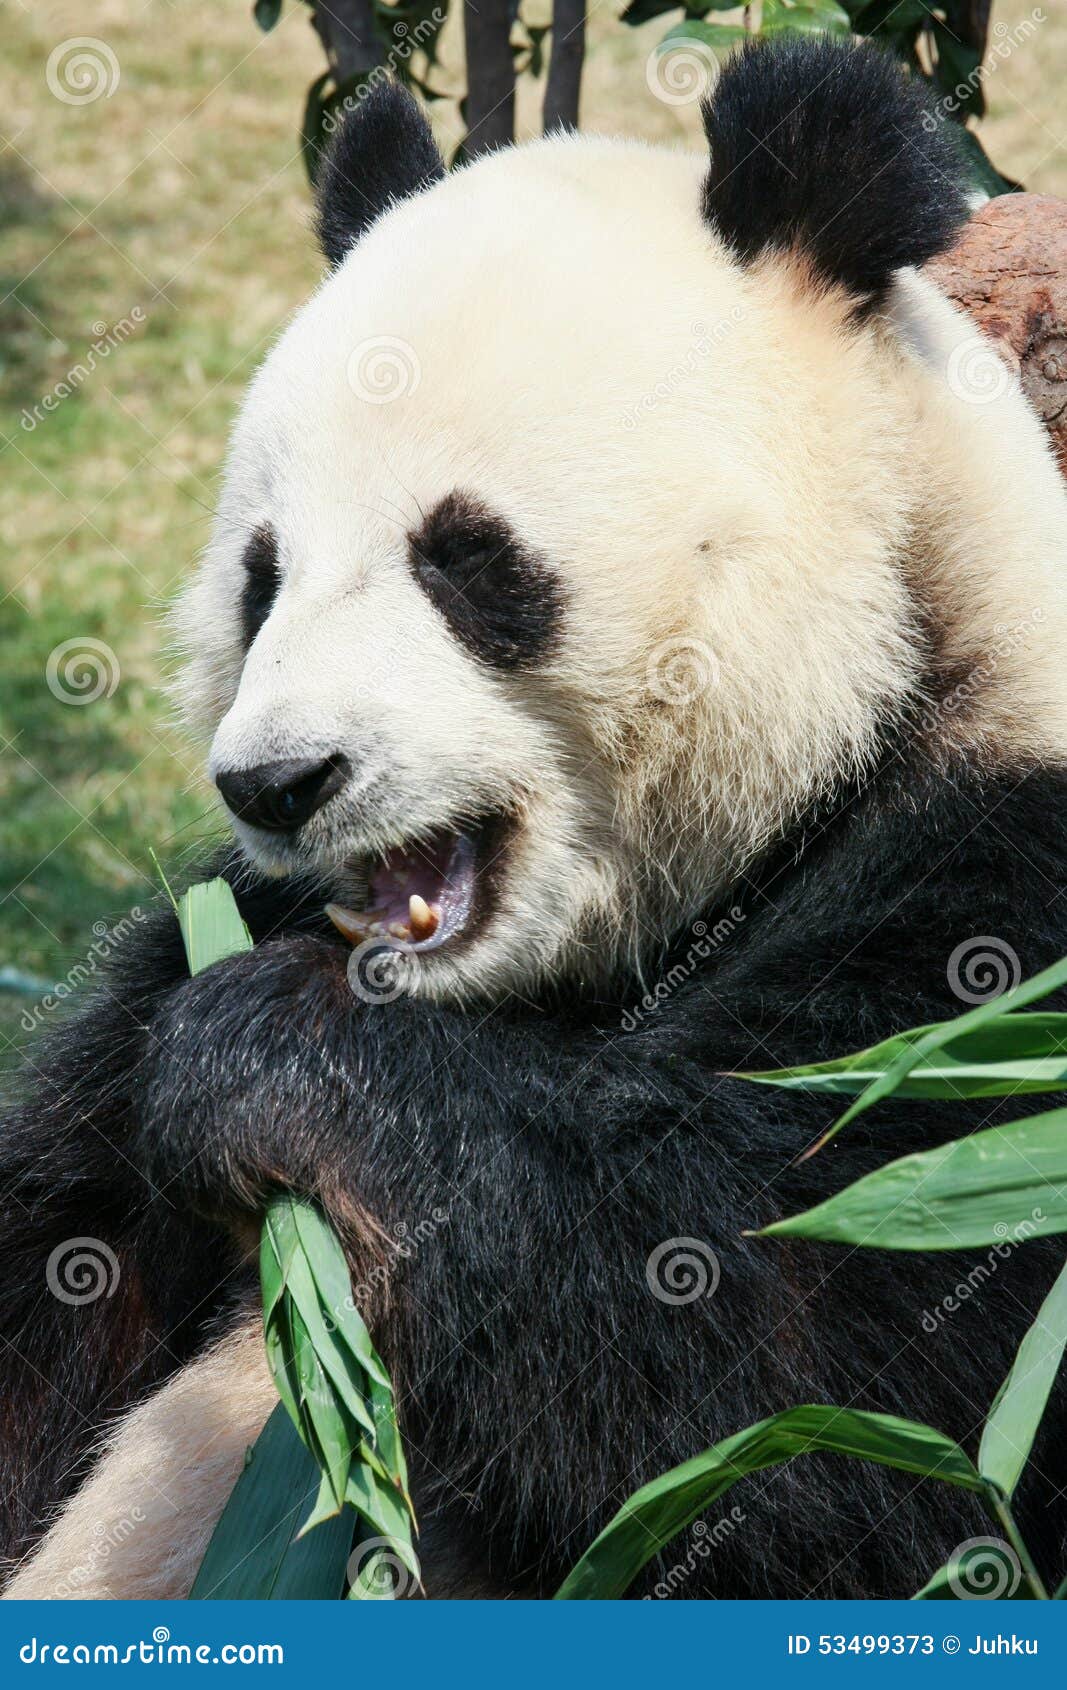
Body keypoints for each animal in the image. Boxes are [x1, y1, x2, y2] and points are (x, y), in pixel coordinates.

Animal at [4, 35, 1067, 1601]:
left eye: (467, 560)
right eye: (262, 576)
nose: (276, 782)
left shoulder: (998, 906)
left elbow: (828, 1384)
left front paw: (275, 1055)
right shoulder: (155, 992)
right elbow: (51, 1257)